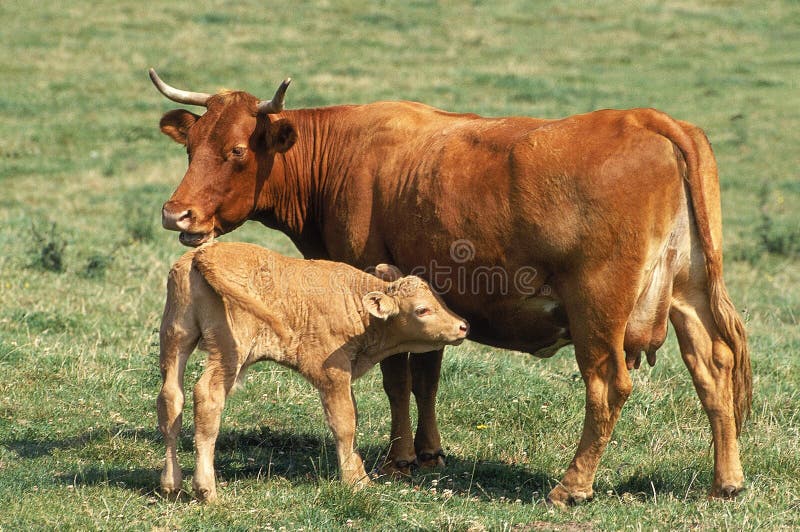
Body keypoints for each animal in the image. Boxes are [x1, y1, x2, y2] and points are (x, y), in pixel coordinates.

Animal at [158, 241, 468, 501]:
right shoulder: (332, 373)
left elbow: (351, 417)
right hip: (229, 352)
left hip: (176, 337)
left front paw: (361, 477)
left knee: (171, 398)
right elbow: (344, 423)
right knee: (206, 397)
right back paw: (206, 490)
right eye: (422, 310)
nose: (463, 326)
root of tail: (206, 252)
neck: (355, 303)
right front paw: (354, 482)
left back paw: (171, 484)